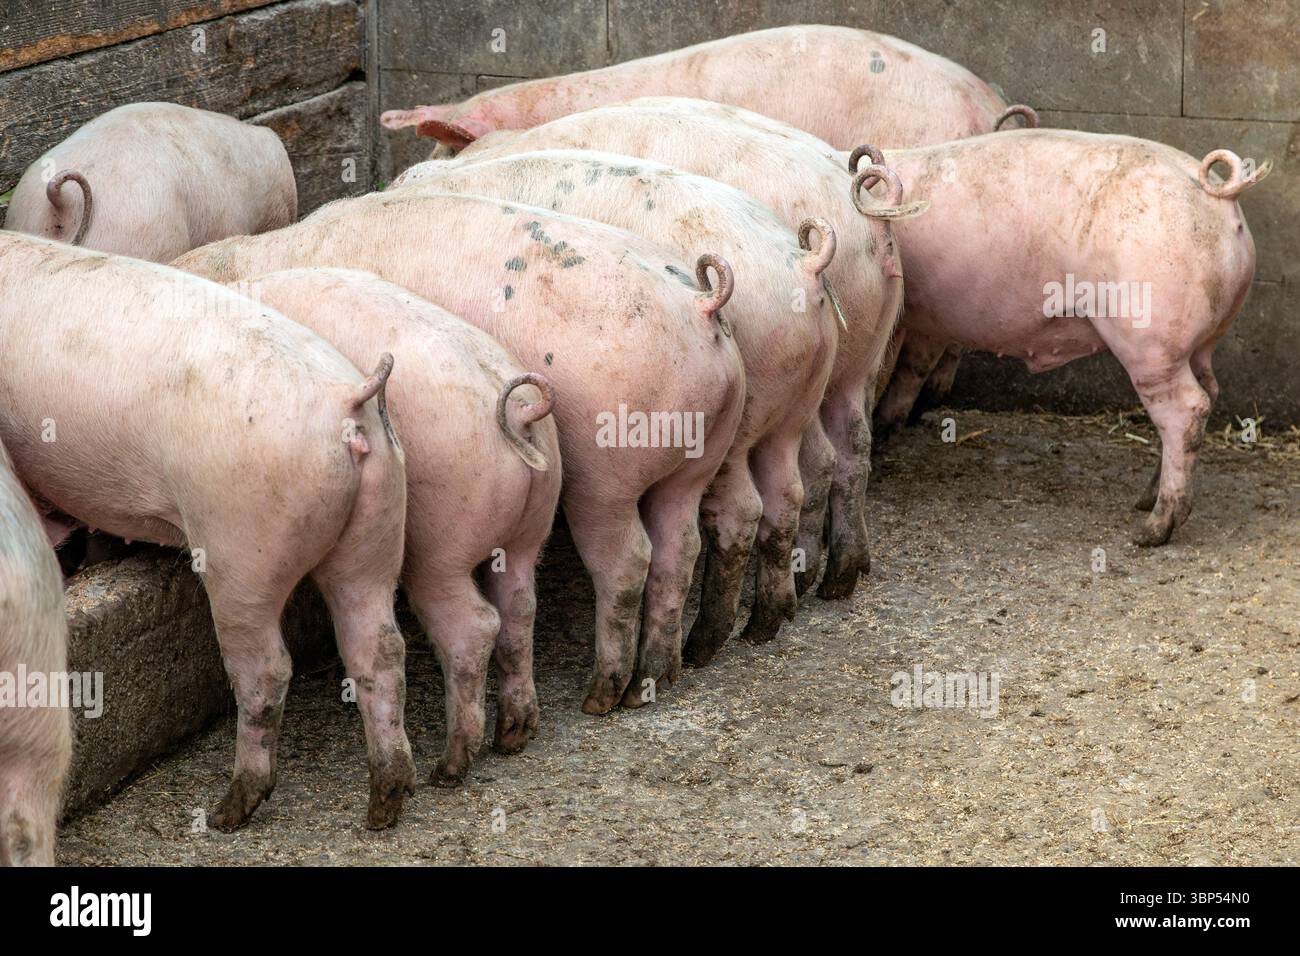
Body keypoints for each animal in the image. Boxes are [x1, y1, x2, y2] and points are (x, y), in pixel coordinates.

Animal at [0, 232, 414, 831]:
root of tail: (348, 398)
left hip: (240, 545)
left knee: (267, 669)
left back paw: (227, 812)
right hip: (377, 527)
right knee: (380, 650)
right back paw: (385, 803)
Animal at [174, 191, 746, 714]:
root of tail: (701, 306)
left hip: (607, 476)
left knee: (627, 560)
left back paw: (600, 699)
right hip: (703, 451)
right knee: (681, 543)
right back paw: (664, 674)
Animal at [234, 268, 562, 784]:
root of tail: (518, 413)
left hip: (443, 549)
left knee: (475, 625)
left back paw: (447, 769)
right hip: (531, 527)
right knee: (521, 605)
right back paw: (513, 737)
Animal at [390, 149, 839, 659]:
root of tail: (702, 303)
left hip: (610, 475)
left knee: (647, 550)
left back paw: (639, 673)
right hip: (779, 412)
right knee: (783, 490)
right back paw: (742, 632)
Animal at [850, 132, 1269, 545]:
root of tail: (1219, 193)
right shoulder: (924, 323)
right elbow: (913, 367)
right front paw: (887, 429)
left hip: (1151, 341)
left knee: (1187, 409)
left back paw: (1150, 530)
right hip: (1200, 341)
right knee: (1208, 392)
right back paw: (1144, 501)